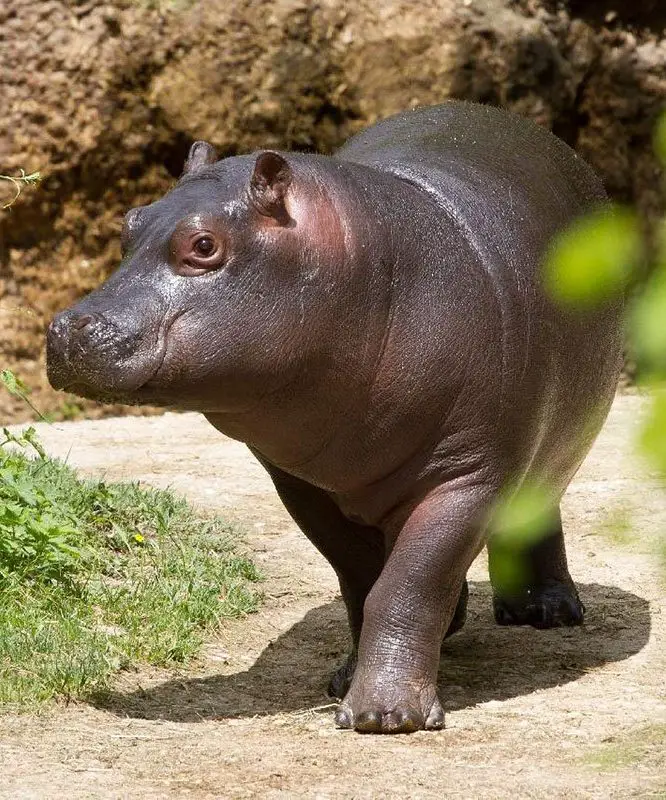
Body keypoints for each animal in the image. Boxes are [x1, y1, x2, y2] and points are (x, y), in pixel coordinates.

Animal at [47, 101, 622, 734]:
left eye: (203, 244)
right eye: (130, 223)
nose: (67, 329)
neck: (365, 271)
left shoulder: (468, 474)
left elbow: (410, 585)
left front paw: (385, 716)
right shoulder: (301, 484)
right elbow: (361, 578)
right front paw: (347, 681)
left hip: (555, 447)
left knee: (537, 506)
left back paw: (546, 612)